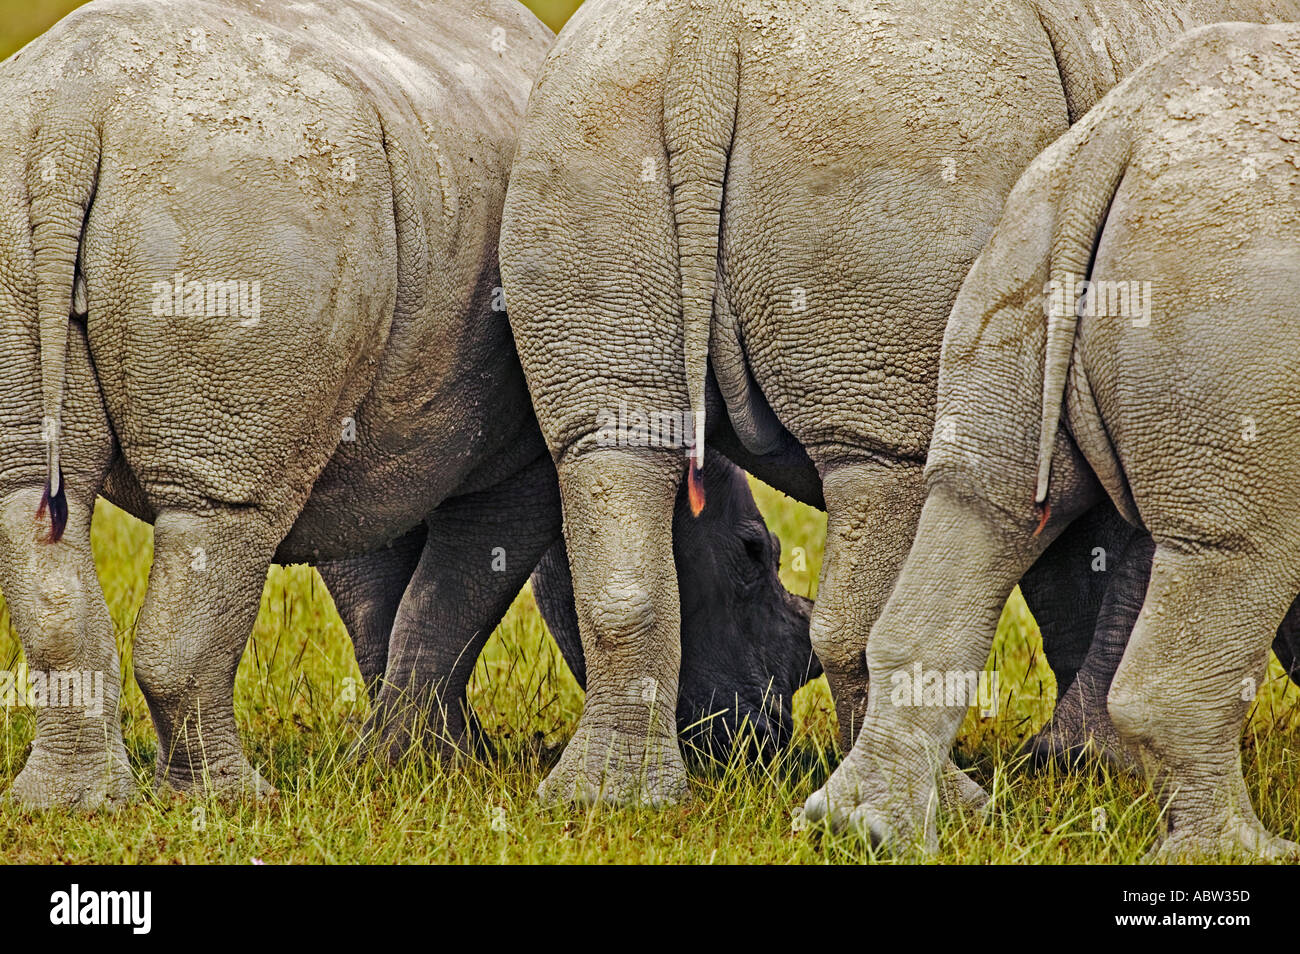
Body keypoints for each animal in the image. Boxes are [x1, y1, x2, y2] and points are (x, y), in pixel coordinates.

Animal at [0, 0, 813, 810]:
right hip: (240, 207)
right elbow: (450, 595)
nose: (762, 743)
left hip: (63, 188)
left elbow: (386, 600)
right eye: (752, 554)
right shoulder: (515, 462)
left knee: (35, 495)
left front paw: (400, 761)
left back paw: (72, 805)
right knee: (223, 509)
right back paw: (231, 801)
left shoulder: (369, 439)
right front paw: (440, 761)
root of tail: (74, 114)